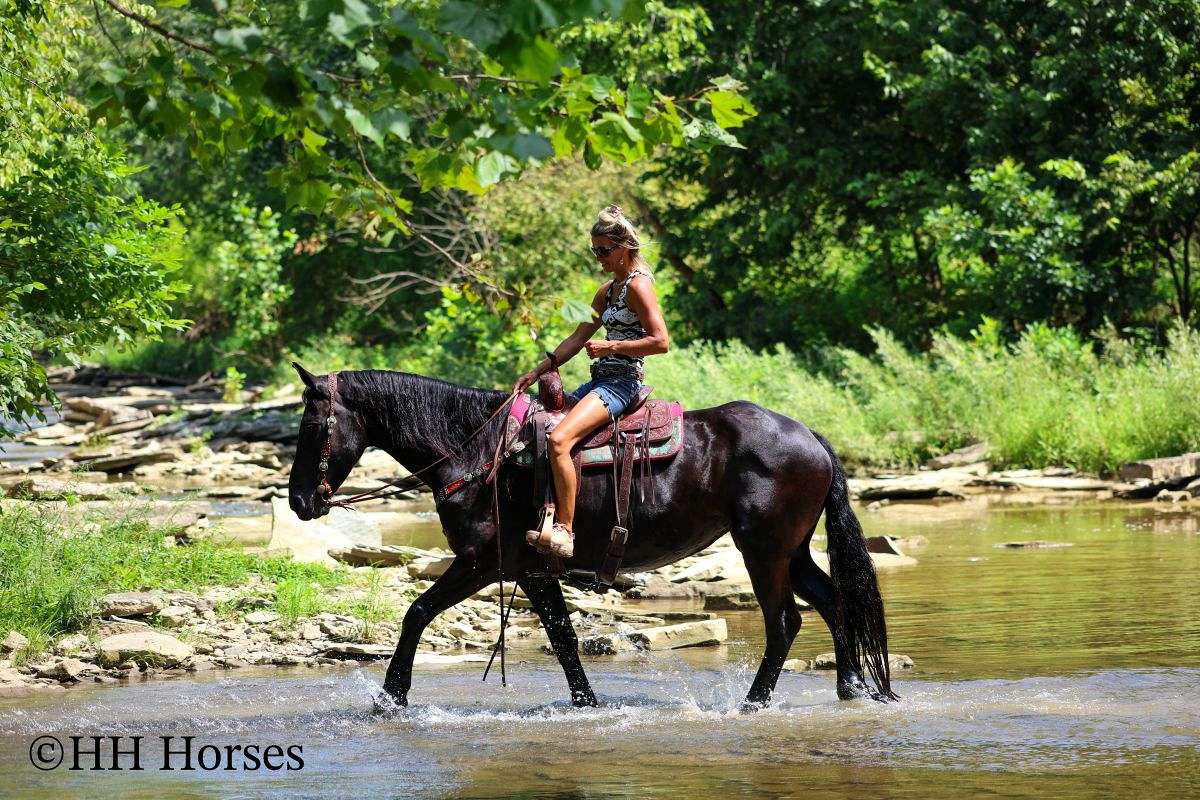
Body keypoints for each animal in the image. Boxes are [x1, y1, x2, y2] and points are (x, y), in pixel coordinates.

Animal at [286, 363, 897, 710]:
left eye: (311, 426)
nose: (298, 502)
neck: (478, 452)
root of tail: (810, 436)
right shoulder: (531, 571)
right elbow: (562, 637)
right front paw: (586, 702)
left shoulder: (484, 563)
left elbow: (416, 613)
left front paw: (390, 697)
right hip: (792, 550)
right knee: (835, 602)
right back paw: (851, 688)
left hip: (764, 551)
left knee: (786, 620)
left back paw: (756, 701)